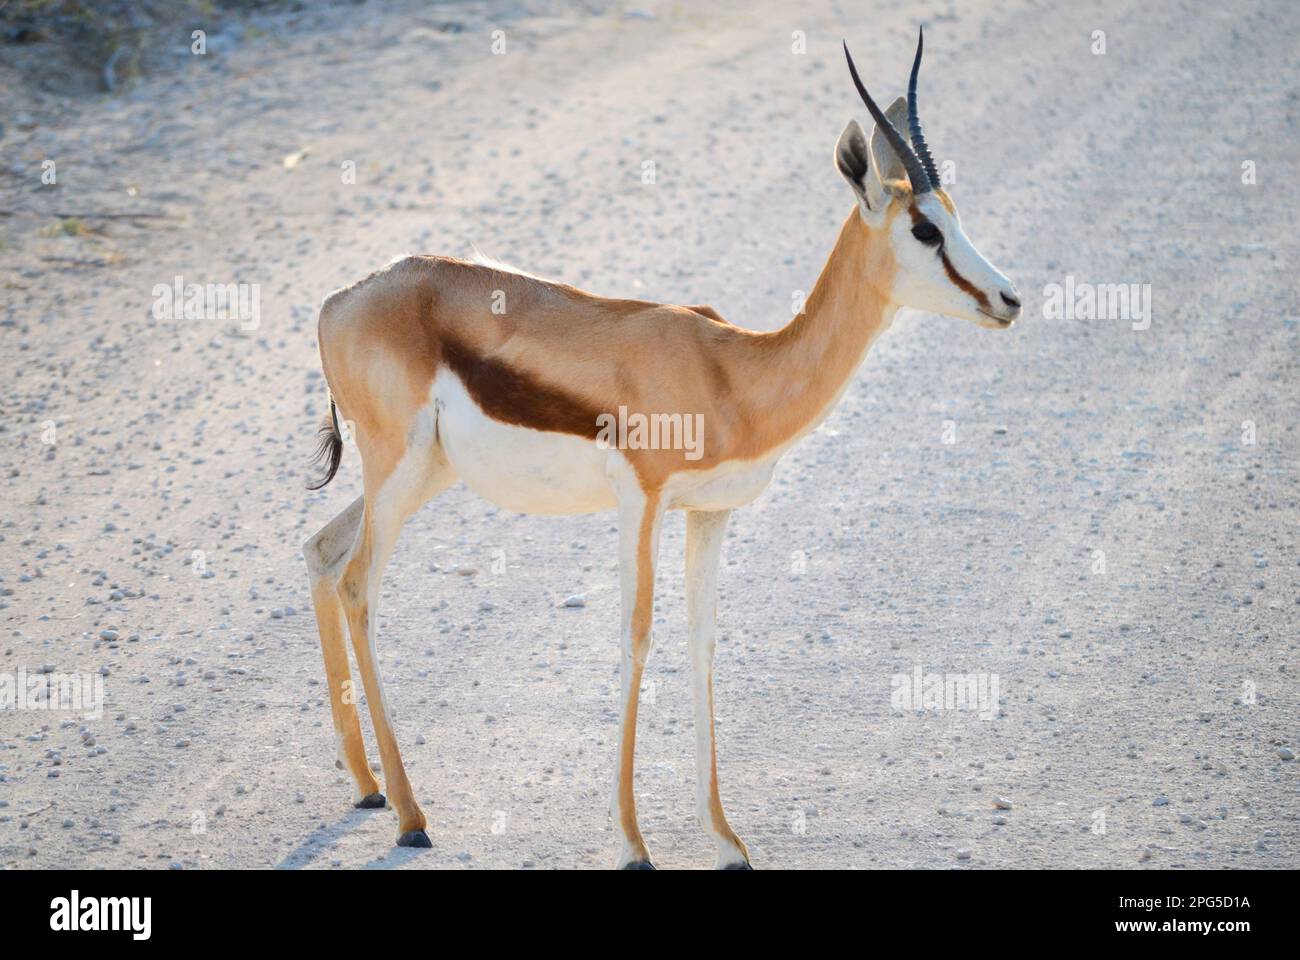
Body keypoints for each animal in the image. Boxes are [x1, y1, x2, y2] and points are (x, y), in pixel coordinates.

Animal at [302, 28, 1021, 869]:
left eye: (956, 216)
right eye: (925, 229)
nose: (1009, 299)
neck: (733, 371)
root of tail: (338, 301)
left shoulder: (709, 514)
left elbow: (702, 641)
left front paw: (727, 839)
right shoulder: (641, 501)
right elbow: (636, 637)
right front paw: (633, 842)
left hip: (424, 472)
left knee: (321, 552)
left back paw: (368, 788)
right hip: (400, 465)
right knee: (358, 583)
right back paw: (412, 816)